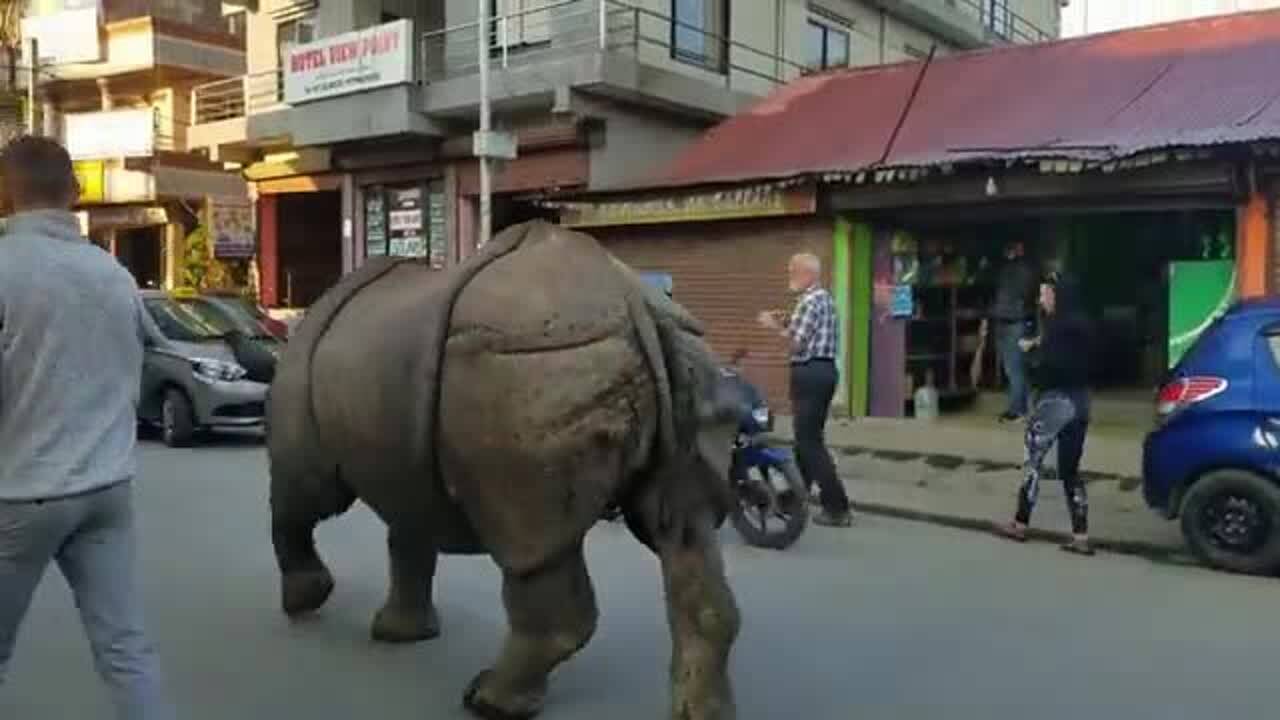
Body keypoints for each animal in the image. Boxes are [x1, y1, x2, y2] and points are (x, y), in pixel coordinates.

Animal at [266, 220, 744, 720]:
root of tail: (636, 303)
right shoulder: (410, 462)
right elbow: (409, 538)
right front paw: (398, 634)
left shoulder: (308, 451)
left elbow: (296, 508)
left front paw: (304, 601)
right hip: (676, 356)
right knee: (685, 526)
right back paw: (702, 713)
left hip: (526, 366)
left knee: (528, 541)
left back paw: (487, 700)